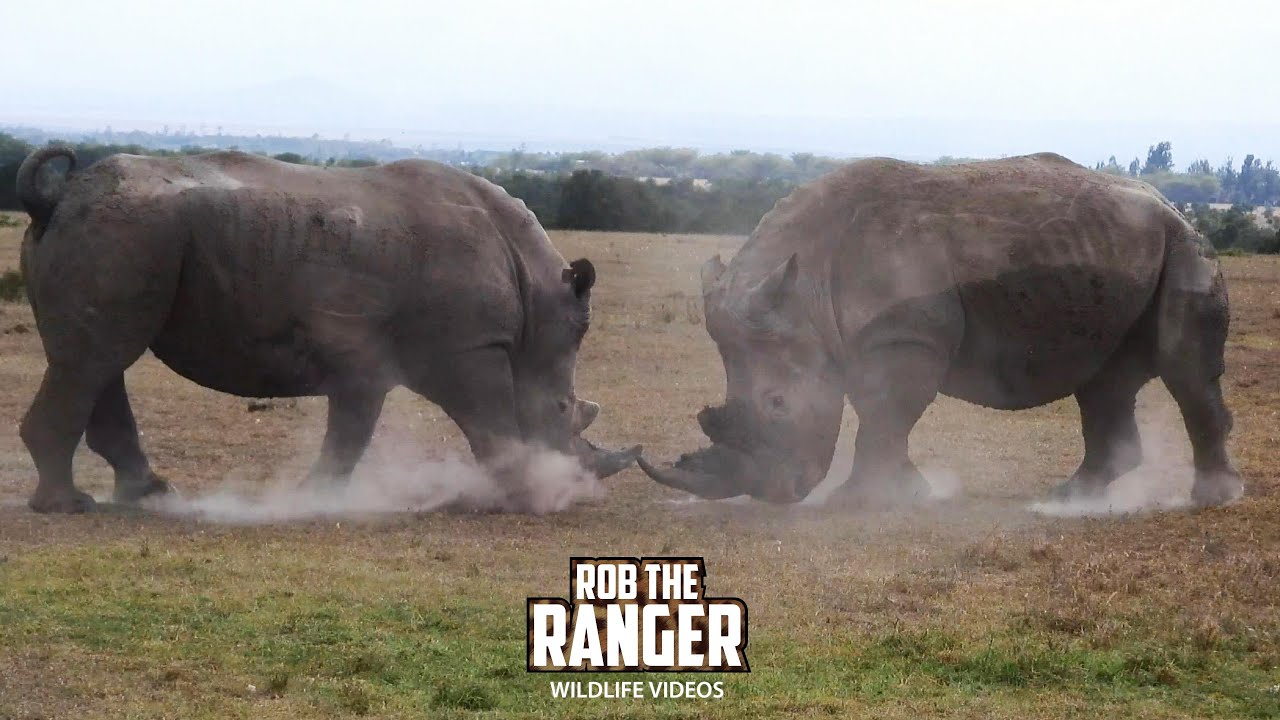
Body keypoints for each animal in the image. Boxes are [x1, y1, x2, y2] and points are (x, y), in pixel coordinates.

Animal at [15, 146, 639, 514]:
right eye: (565, 411)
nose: (581, 485)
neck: (537, 294)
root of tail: (57, 196)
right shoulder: (470, 347)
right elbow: (489, 420)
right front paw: (526, 495)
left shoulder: (366, 355)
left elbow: (351, 429)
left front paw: (313, 495)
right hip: (122, 232)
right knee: (95, 359)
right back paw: (67, 505)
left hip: (120, 234)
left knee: (100, 359)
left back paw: (146, 494)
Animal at [639, 152, 1243, 508]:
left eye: (778, 404)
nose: (770, 494)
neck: (804, 287)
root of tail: (1170, 204)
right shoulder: (874, 340)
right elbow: (879, 415)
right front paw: (910, 495)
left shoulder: (903, 336)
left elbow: (883, 413)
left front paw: (858, 503)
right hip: (1122, 256)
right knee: (1103, 380)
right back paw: (1071, 498)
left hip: (1185, 246)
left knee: (1184, 369)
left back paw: (1213, 499)